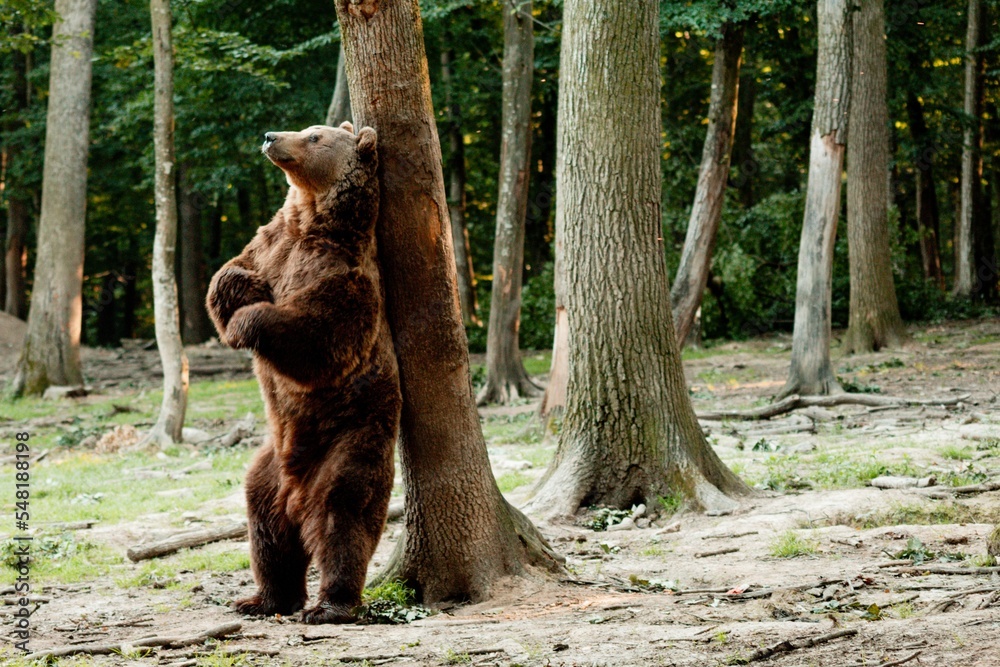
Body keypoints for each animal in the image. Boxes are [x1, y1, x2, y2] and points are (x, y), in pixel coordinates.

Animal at [206, 122, 401, 624]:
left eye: (315, 137)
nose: (271, 135)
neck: (313, 220)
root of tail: (296, 492)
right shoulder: (273, 244)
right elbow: (228, 272)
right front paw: (242, 295)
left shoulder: (344, 276)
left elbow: (319, 335)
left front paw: (246, 323)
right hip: (268, 468)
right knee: (266, 528)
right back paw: (262, 598)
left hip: (350, 438)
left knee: (344, 516)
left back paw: (330, 605)